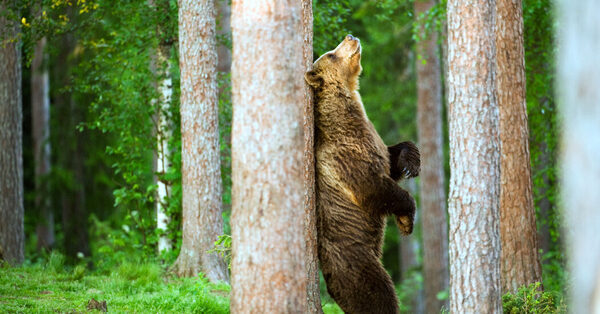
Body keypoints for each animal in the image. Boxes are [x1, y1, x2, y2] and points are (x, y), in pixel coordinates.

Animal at [304, 35, 418, 312]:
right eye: (331, 54)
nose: (350, 36)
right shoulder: (346, 156)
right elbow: (373, 187)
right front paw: (407, 219)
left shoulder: (373, 141)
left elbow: (390, 159)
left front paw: (411, 161)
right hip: (355, 260)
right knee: (378, 293)